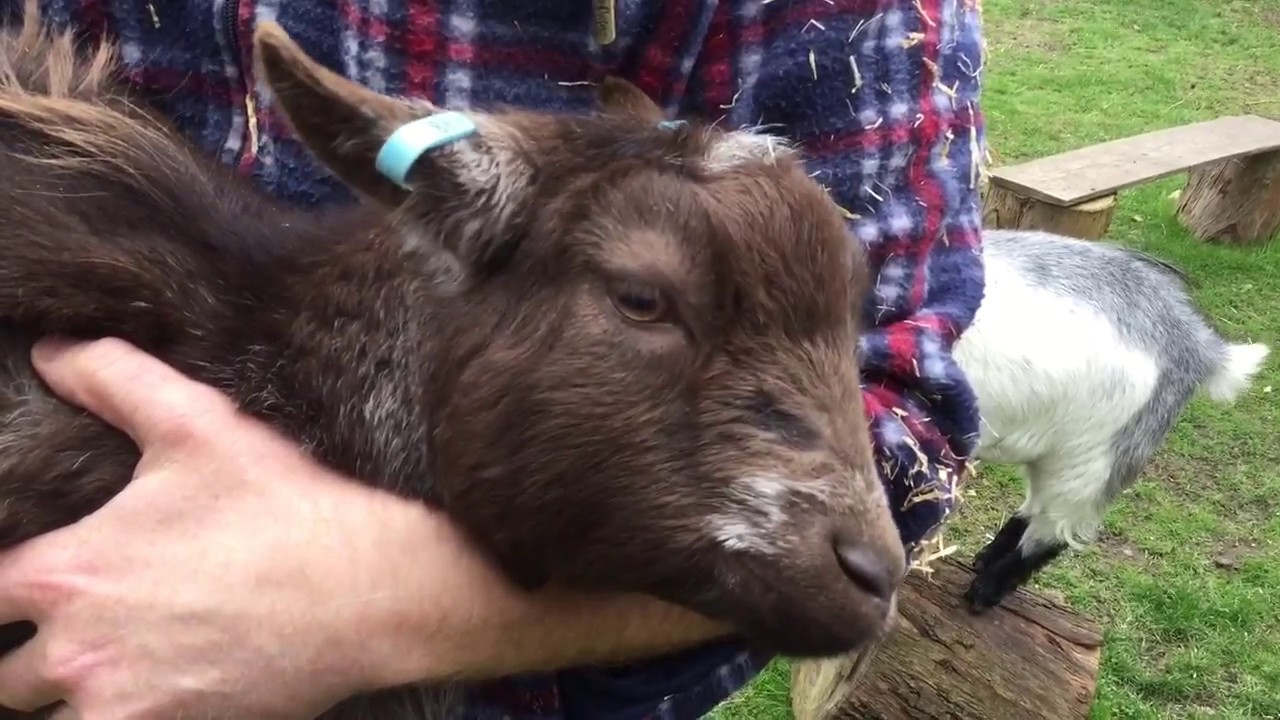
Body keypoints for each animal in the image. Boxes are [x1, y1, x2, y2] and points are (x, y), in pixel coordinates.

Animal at [958, 228, 1270, 612]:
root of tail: (1198, 345)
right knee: (1037, 507)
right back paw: (986, 559)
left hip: (1097, 458)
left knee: (1056, 529)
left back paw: (986, 589)